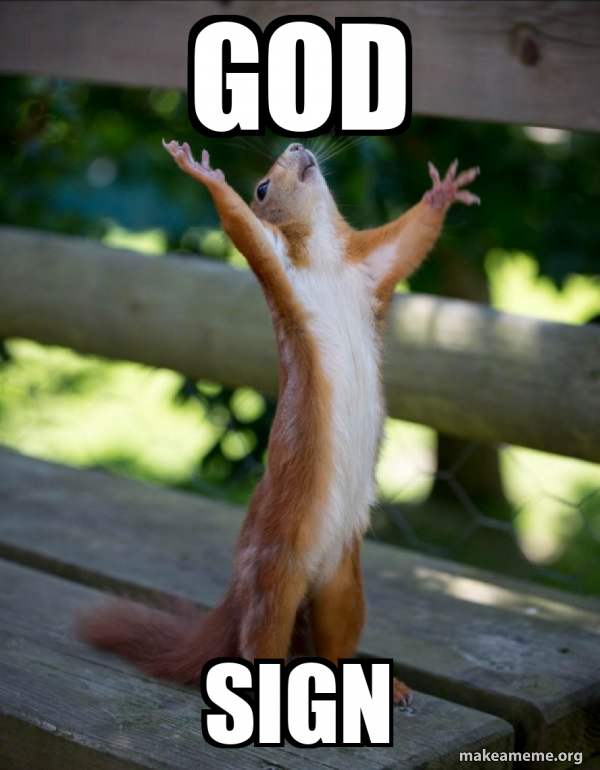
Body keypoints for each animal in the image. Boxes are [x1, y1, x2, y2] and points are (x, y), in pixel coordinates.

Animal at [77, 139, 480, 707]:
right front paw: (204, 173)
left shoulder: (372, 267)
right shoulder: (277, 265)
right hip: (274, 576)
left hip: (344, 586)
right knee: (261, 642)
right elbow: (240, 226)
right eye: (262, 187)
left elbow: (410, 240)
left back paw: (384, 686)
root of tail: (239, 589)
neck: (327, 259)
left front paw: (443, 191)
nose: (295, 145)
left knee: (335, 644)